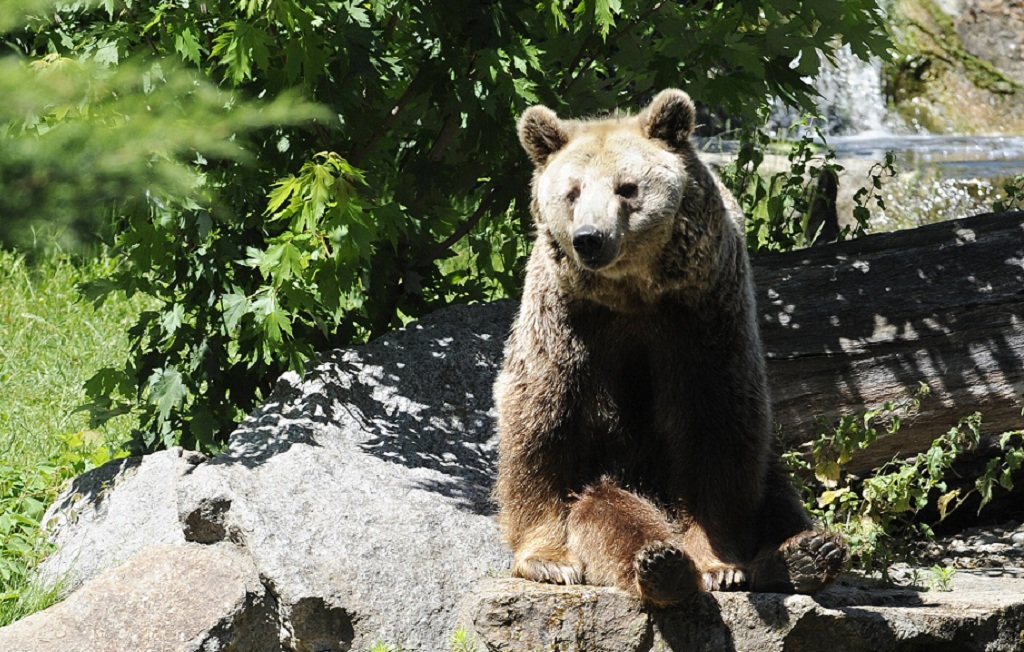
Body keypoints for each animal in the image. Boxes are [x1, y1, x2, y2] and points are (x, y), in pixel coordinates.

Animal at [493, 88, 848, 606]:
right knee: (608, 512)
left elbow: (716, 426)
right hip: (613, 475)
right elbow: (543, 419)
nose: (589, 240)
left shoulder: (702, 317)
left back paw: (805, 552)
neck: (632, 293)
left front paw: (720, 564)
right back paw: (663, 564)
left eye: (627, 188)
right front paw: (548, 560)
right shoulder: (569, 320)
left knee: (775, 492)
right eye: (572, 191)